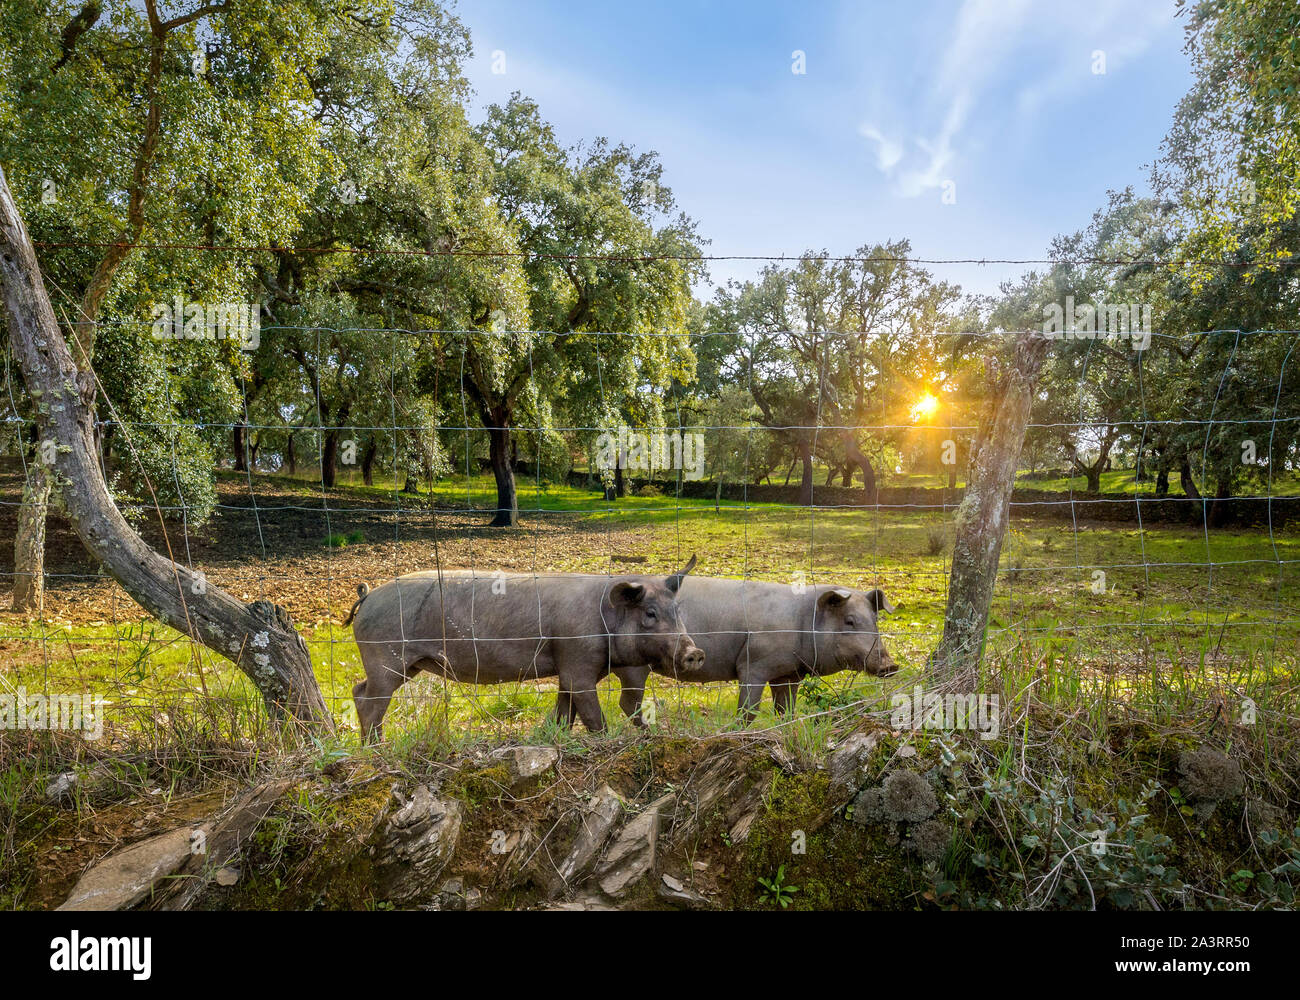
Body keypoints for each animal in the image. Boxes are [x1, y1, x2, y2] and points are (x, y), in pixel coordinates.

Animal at [346, 557, 703, 741]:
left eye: (677, 612)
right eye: (650, 614)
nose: (695, 653)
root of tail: (367, 595)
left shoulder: (566, 667)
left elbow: (565, 711)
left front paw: (556, 737)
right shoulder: (578, 661)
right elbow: (592, 714)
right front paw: (605, 740)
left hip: (406, 665)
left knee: (358, 691)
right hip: (385, 657)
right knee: (370, 703)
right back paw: (376, 749)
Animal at [602, 577, 898, 724]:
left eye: (875, 620)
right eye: (849, 621)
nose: (890, 665)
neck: (802, 622)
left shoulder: (788, 674)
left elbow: (785, 710)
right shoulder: (753, 664)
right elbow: (748, 710)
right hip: (635, 666)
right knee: (627, 703)